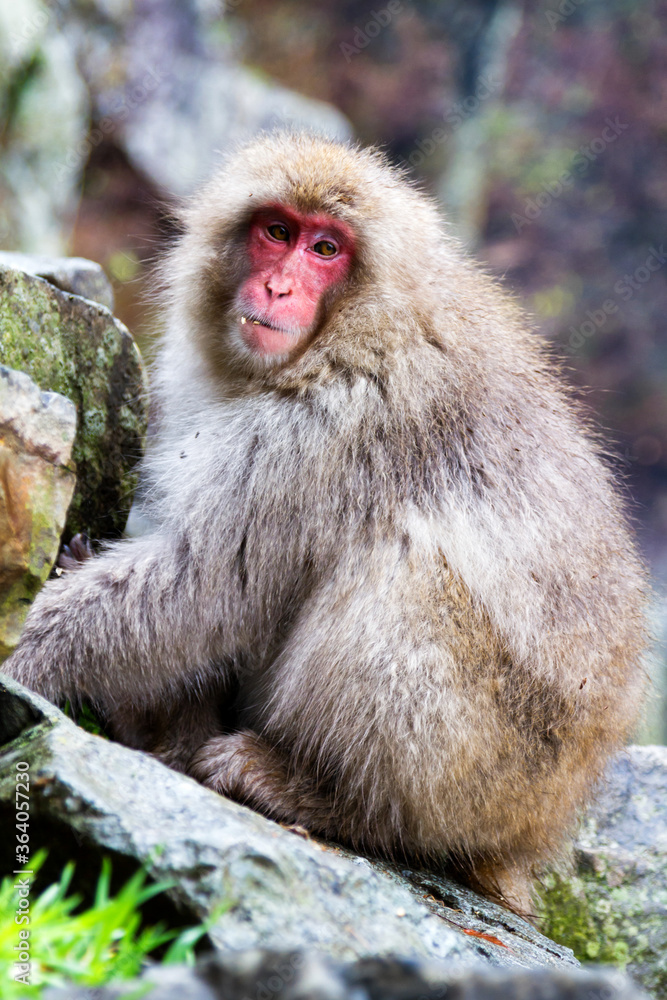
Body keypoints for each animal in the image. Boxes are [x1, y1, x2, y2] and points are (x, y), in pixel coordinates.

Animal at [2, 131, 648, 915]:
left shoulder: (331, 423)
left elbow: (203, 584)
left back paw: (322, 797)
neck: (345, 333)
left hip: (491, 776)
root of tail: (535, 833)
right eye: (277, 232)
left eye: (325, 250)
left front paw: (21, 656)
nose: (278, 289)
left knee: (403, 570)